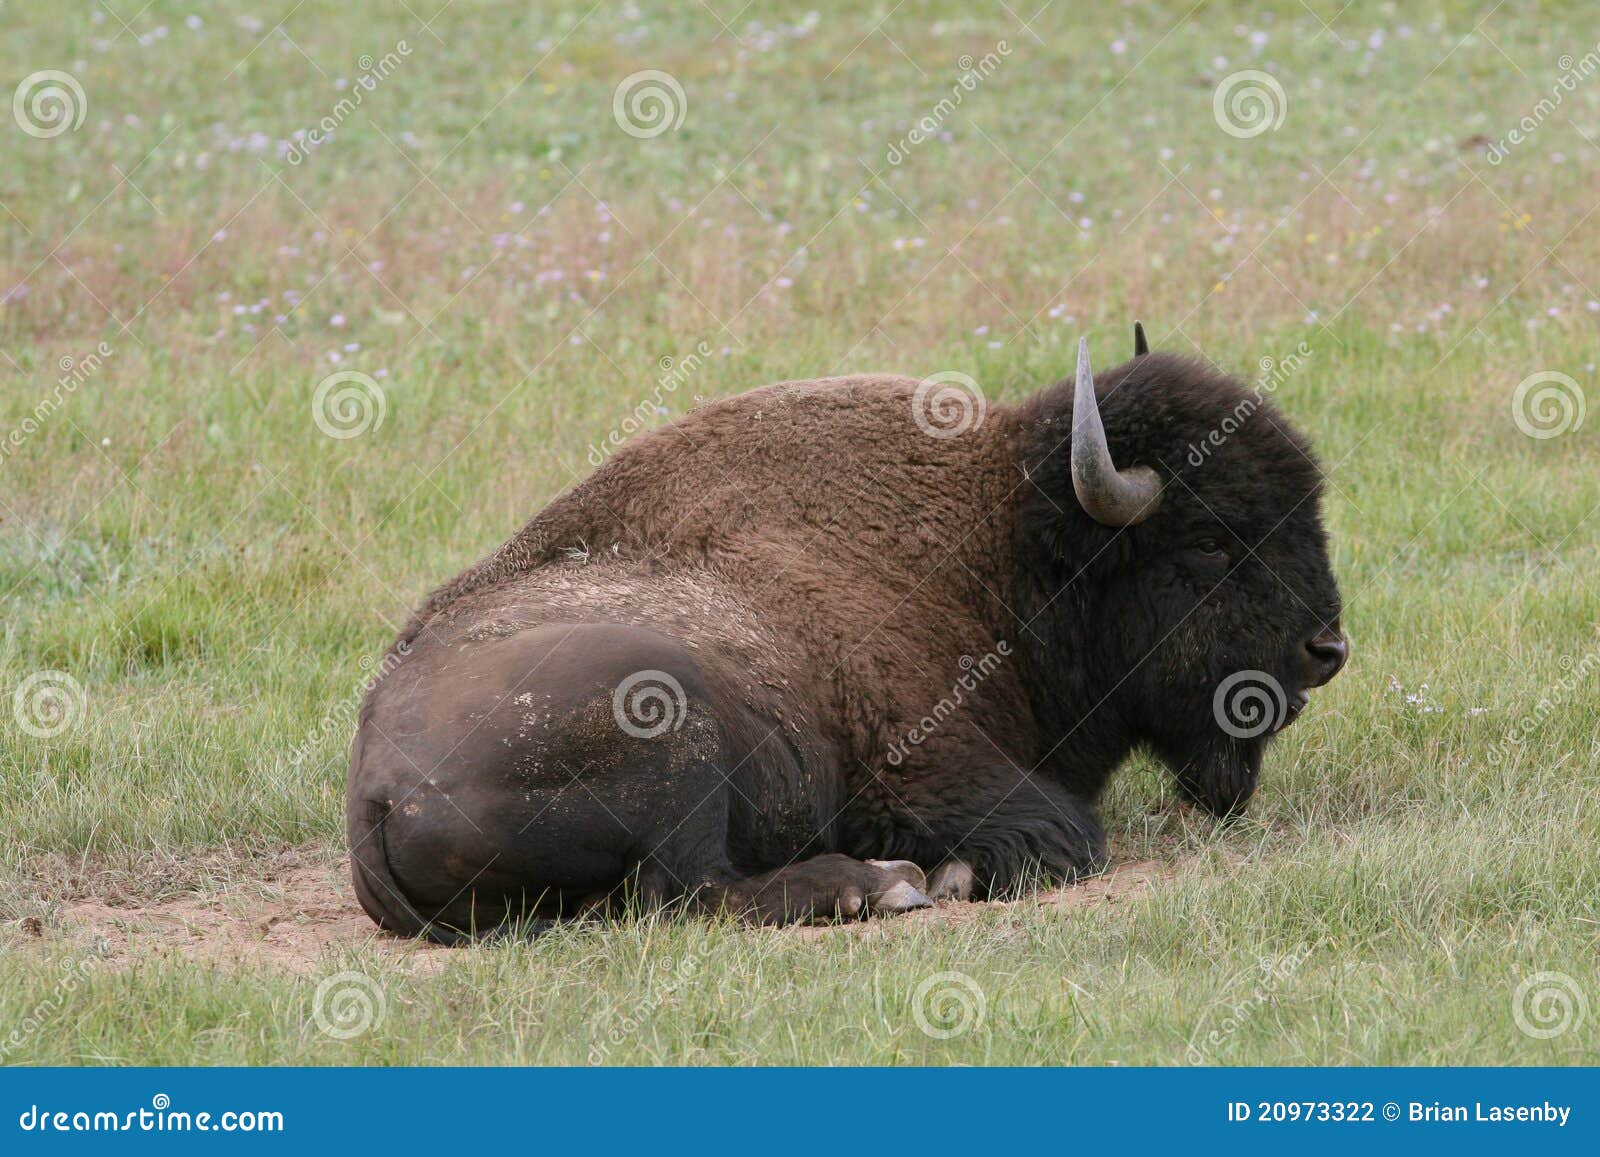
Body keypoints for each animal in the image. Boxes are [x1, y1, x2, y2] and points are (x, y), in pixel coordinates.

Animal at [347, 326, 1347, 941]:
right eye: (1210, 539)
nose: (1326, 650)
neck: (1002, 541)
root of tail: (373, 793)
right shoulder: (932, 763)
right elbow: (1065, 834)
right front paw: (948, 874)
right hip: (669, 718)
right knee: (689, 890)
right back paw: (886, 882)